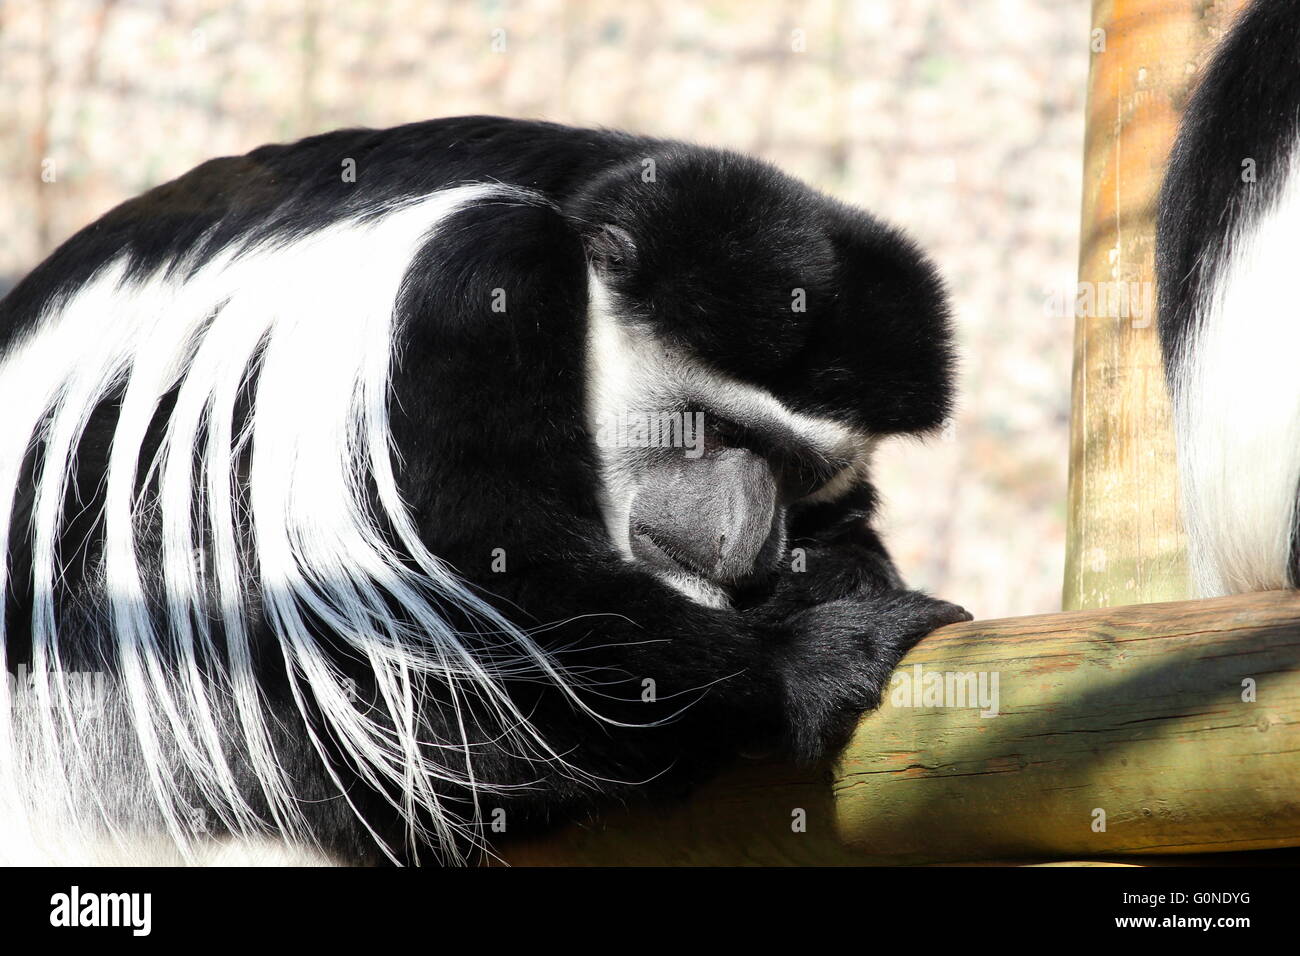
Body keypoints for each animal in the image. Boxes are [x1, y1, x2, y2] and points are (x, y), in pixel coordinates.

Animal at [0, 116, 968, 864]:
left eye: (796, 469)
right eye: (707, 430)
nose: (742, 537)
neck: (576, 234)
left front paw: (835, 574)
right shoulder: (477, 275)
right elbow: (481, 555)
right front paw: (811, 658)